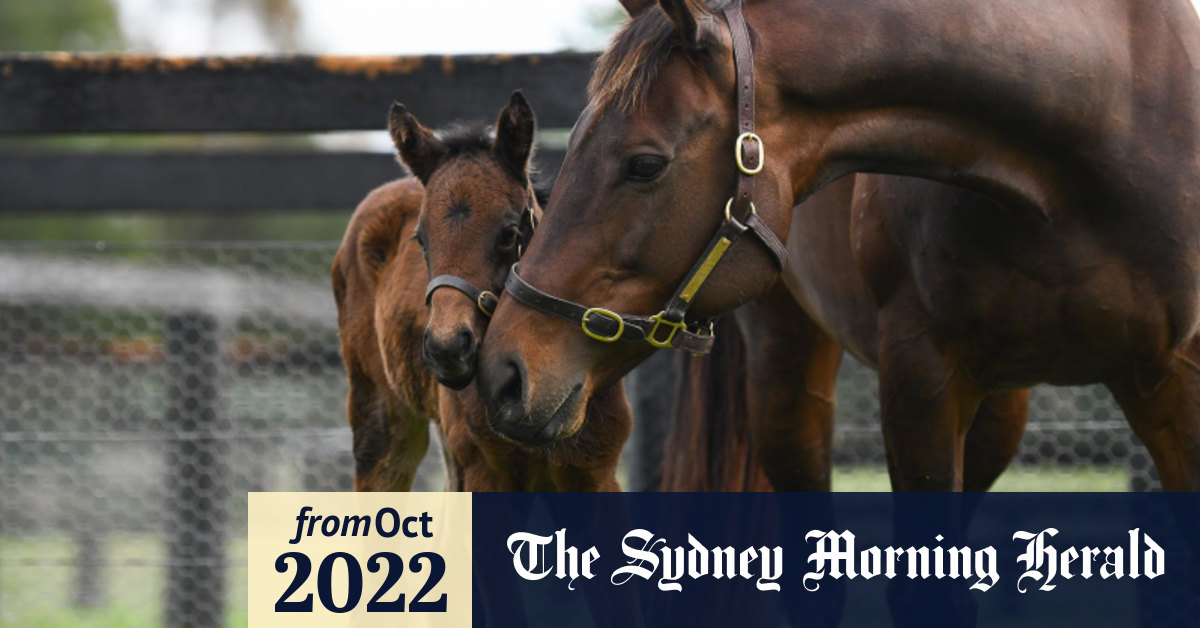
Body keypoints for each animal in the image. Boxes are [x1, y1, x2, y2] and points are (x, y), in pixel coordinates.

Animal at [332, 92, 630, 492]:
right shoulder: (485, 470)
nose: (447, 348)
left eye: (509, 234)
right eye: (421, 239)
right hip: (382, 420)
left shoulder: (593, 472)